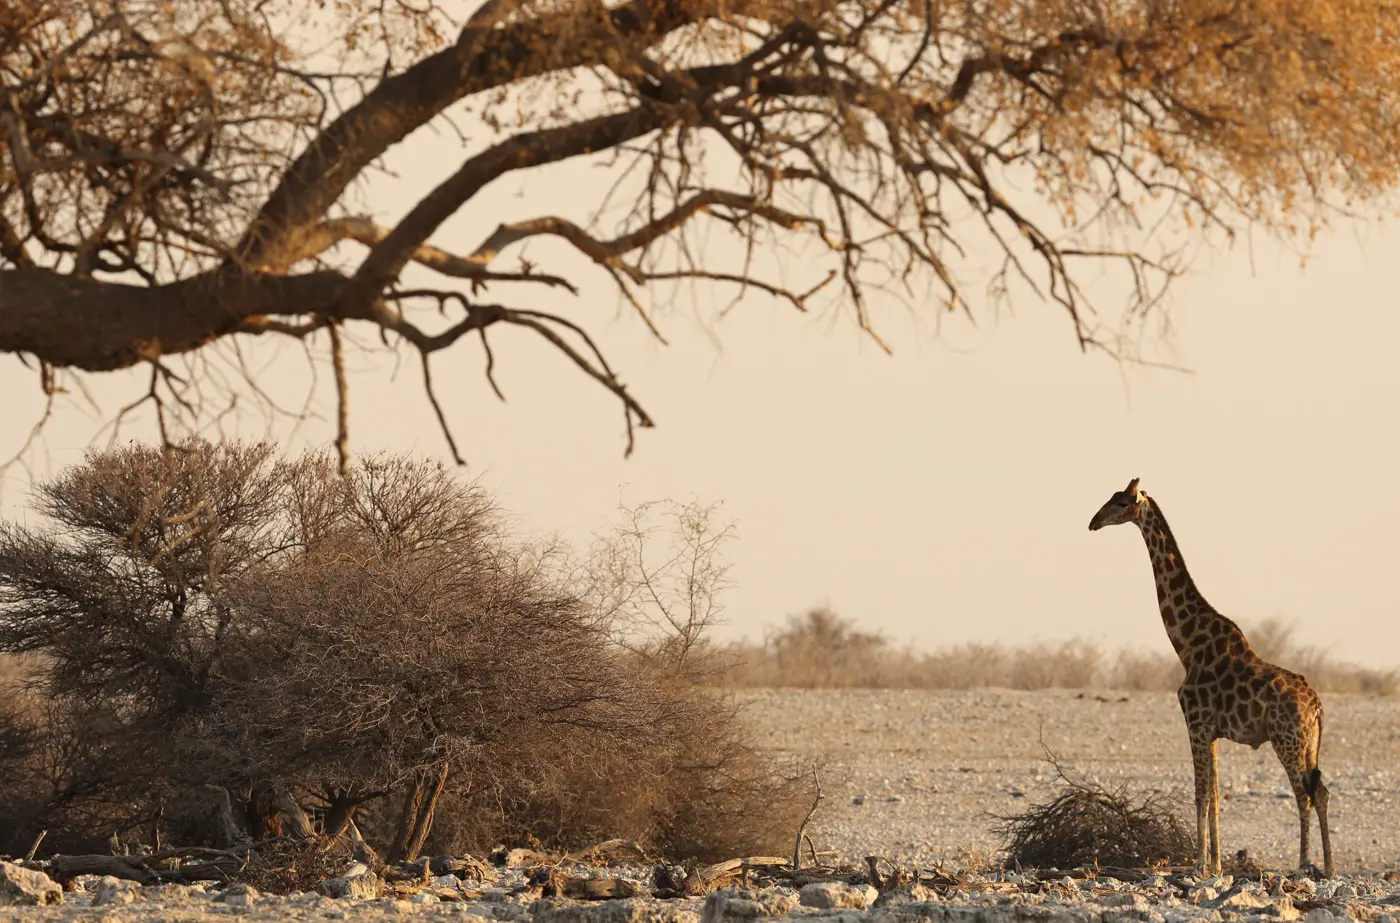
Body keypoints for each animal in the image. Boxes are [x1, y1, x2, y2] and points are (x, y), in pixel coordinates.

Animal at [1088, 477, 1333, 879]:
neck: (1187, 645)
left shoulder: (1196, 723)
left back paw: (1303, 865)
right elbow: (1216, 796)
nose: (1093, 522)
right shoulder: (1213, 732)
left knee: (1304, 794)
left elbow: (1201, 792)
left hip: (1286, 739)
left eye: (1122, 502)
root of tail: (1317, 707)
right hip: (1310, 743)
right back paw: (1328, 868)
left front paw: (1200, 864)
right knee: (1321, 791)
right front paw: (1216, 864)